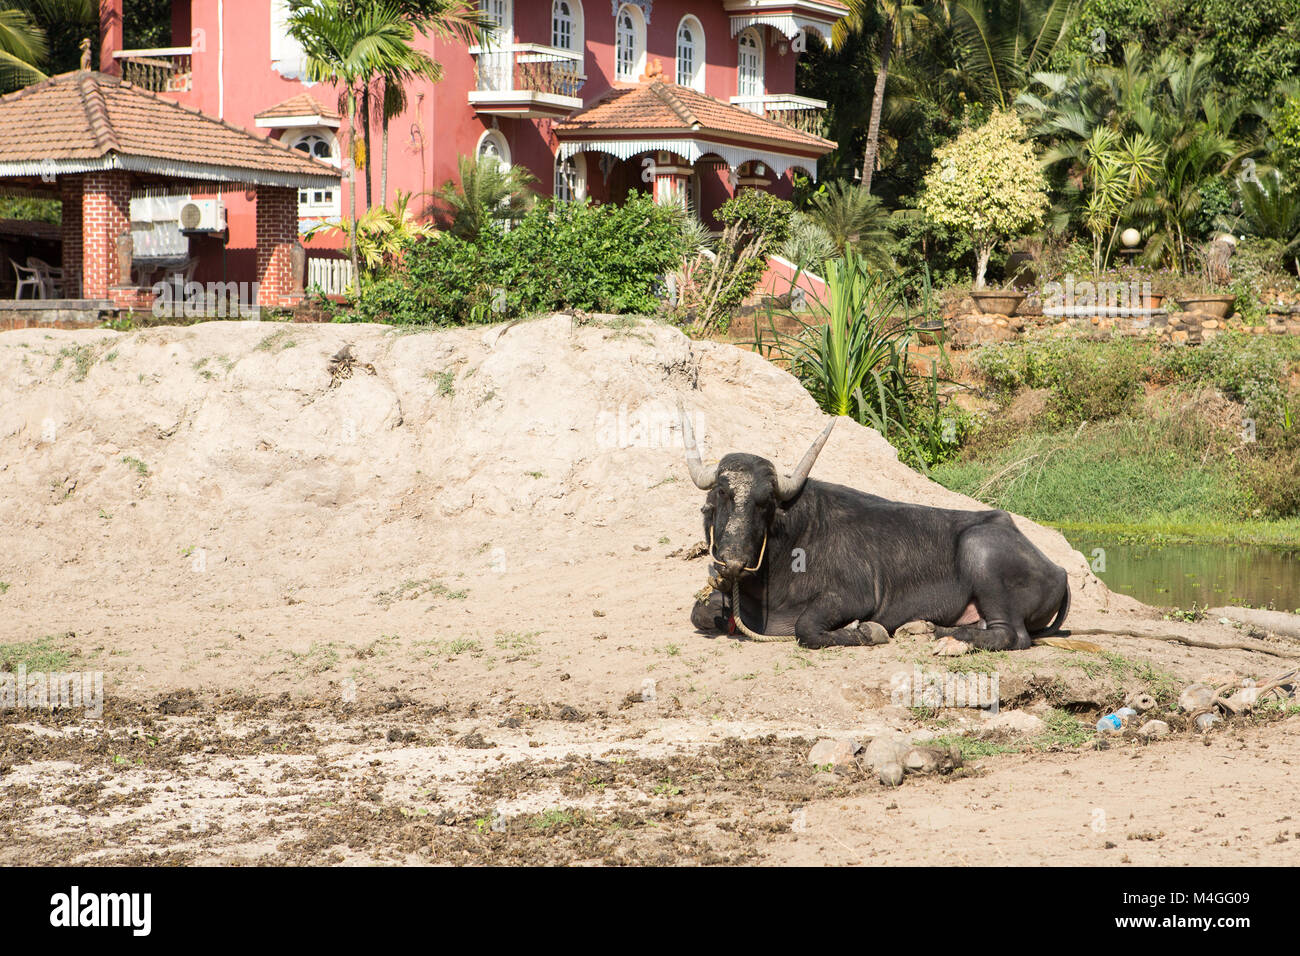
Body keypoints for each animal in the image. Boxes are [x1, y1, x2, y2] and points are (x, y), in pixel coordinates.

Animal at [679, 401, 1070, 650]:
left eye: (765, 503)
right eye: (722, 493)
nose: (732, 562)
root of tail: (1059, 570)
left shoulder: (854, 595)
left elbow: (806, 628)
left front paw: (869, 631)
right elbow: (699, 611)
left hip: (981, 549)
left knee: (1010, 635)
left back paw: (949, 642)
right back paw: (925, 627)